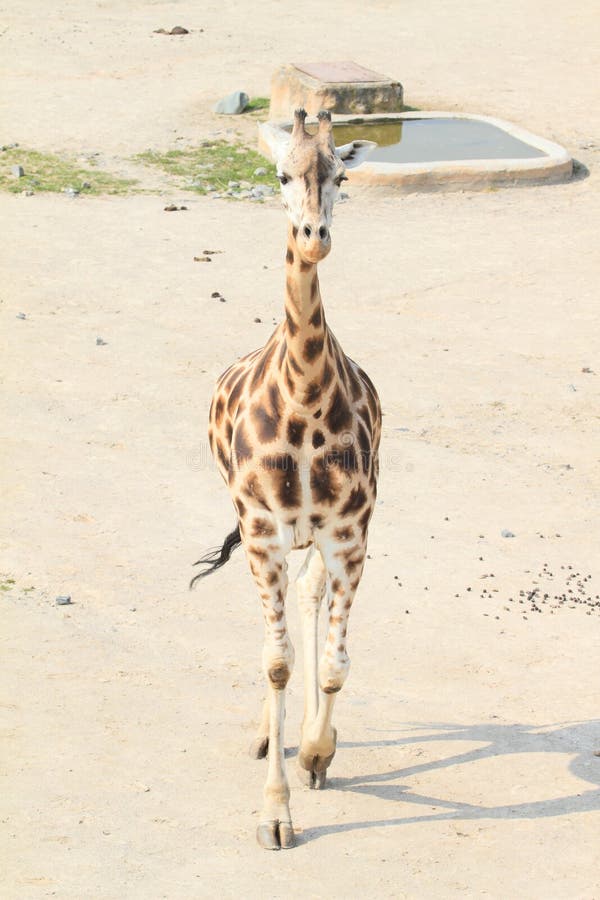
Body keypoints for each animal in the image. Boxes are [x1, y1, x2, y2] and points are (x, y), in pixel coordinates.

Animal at [192, 109, 381, 850]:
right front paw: (275, 814)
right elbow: (278, 663)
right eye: (278, 174)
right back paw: (265, 736)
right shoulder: (262, 529)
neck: (304, 394)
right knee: (276, 637)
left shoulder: (349, 533)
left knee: (307, 599)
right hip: (264, 535)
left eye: (342, 176)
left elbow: (333, 664)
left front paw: (318, 754)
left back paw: (302, 742)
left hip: (317, 538)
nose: (313, 238)